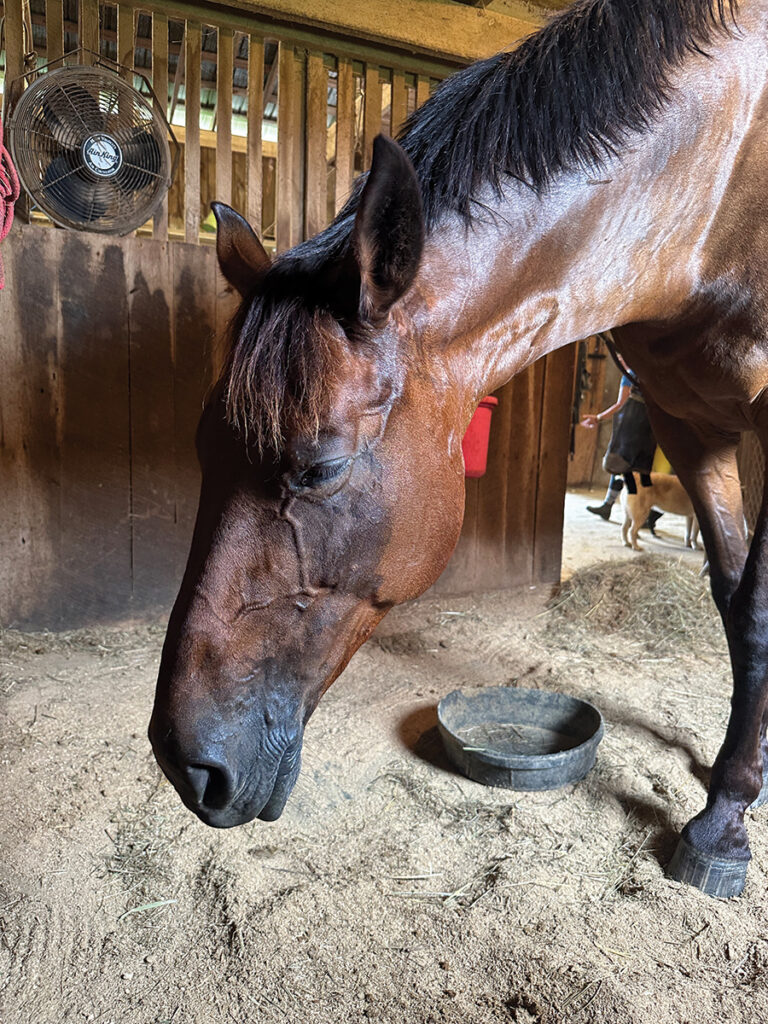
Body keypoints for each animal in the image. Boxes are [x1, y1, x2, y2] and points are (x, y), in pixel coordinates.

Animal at [150, 0, 768, 899]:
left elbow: (755, 609)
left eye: (321, 467)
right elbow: (734, 598)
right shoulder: (688, 421)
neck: (723, 191)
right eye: (202, 448)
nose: (184, 763)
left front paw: (723, 824)